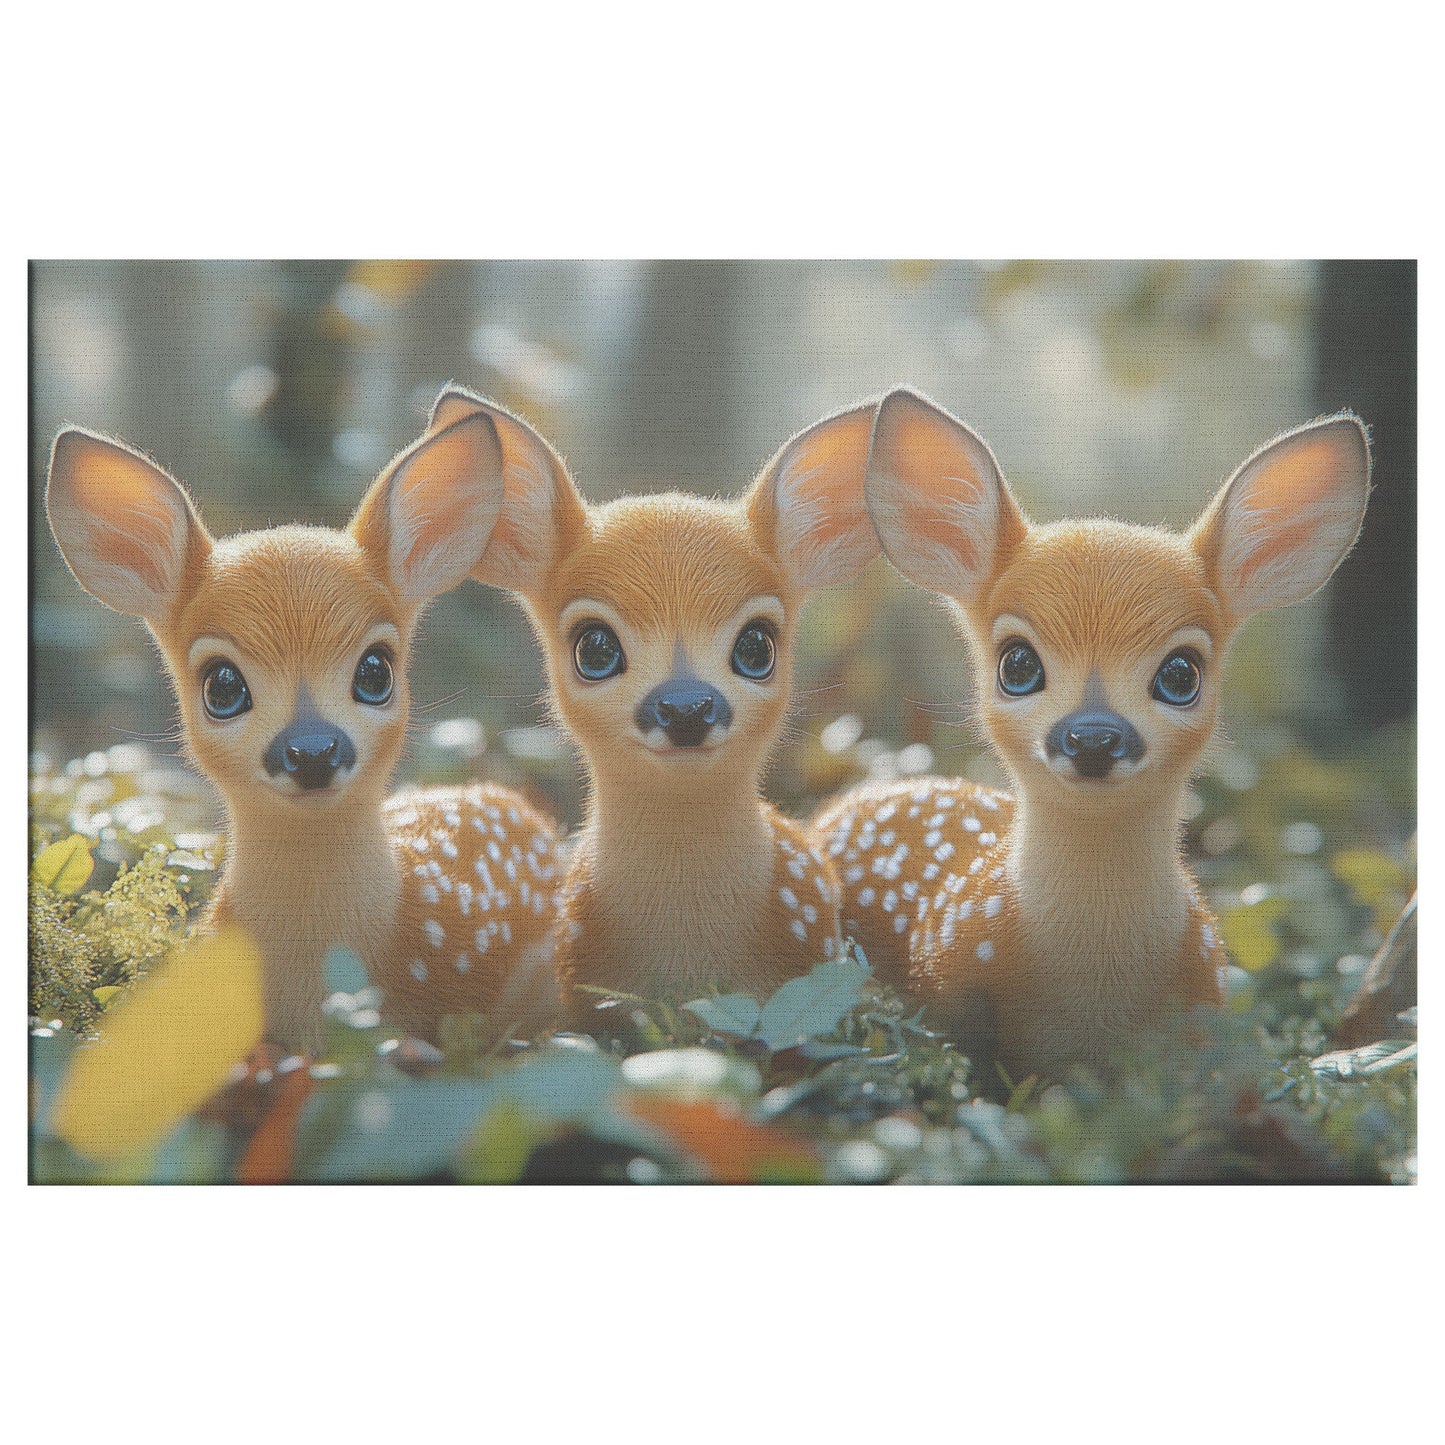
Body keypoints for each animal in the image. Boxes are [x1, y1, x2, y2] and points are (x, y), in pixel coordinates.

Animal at [812, 386, 1371, 1078]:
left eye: (1181, 673)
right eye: (1018, 665)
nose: (1095, 739)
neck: (1091, 977)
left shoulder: (1205, 998)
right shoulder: (950, 982)